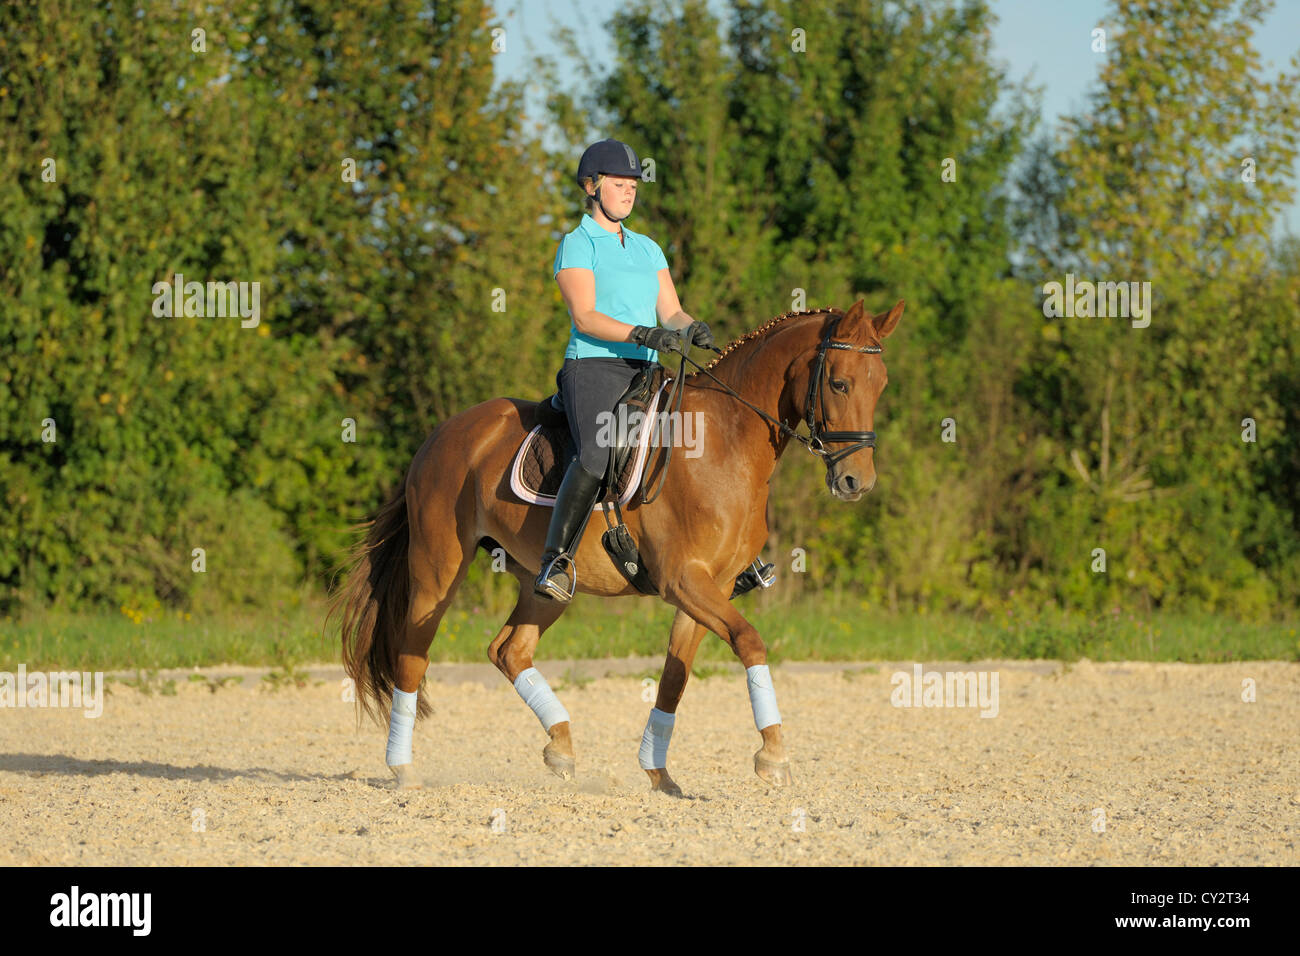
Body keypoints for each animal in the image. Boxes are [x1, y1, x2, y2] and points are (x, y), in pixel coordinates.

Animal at [332, 297, 904, 793]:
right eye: (839, 382)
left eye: (880, 386)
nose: (857, 482)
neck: (727, 442)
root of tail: (441, 434)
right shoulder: (684, 580)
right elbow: (750, 642)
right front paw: (773, 756)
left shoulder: (709, 588)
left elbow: (675, 677)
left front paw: (659, 774)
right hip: (438, 569)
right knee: (412, 657)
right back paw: (403, 769)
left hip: (545, 583)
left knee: (509, 650)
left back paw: (561, 748)